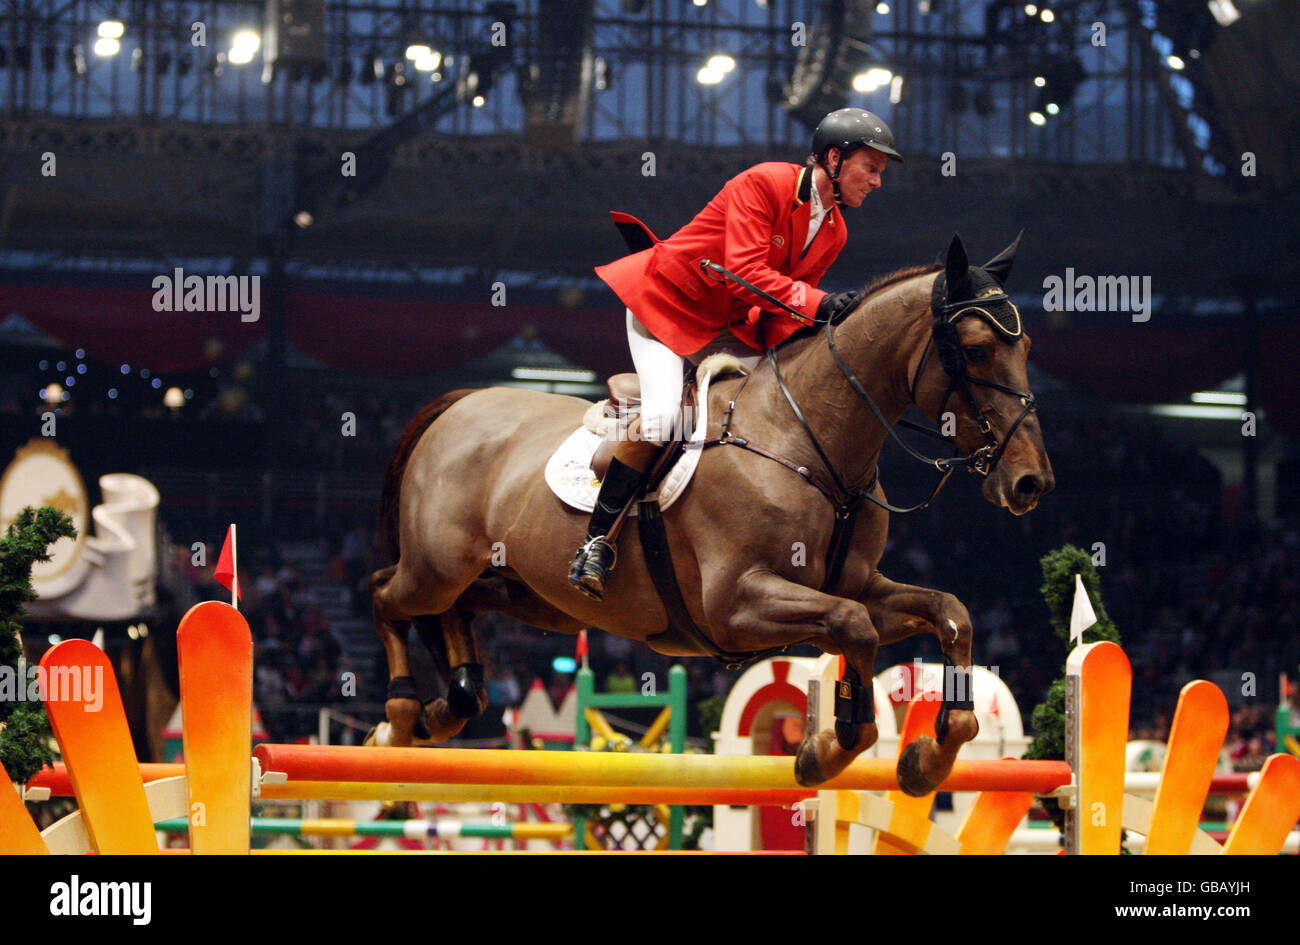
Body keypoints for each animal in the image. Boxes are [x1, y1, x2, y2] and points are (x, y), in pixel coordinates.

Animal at [366, 233, 1053, 796]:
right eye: (976, 349)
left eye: (1026, 346)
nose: (1030, 482)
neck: (810, 442)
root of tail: (460, 403)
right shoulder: (737, 605)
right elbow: (853, 630)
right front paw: (825, 752)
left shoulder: (857, 587)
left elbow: (949, 613)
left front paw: (927, 760)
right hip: (436, 568)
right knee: (385, 594)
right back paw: (398, 720)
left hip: (528, 595)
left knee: (456, 611)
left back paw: (448, 706)